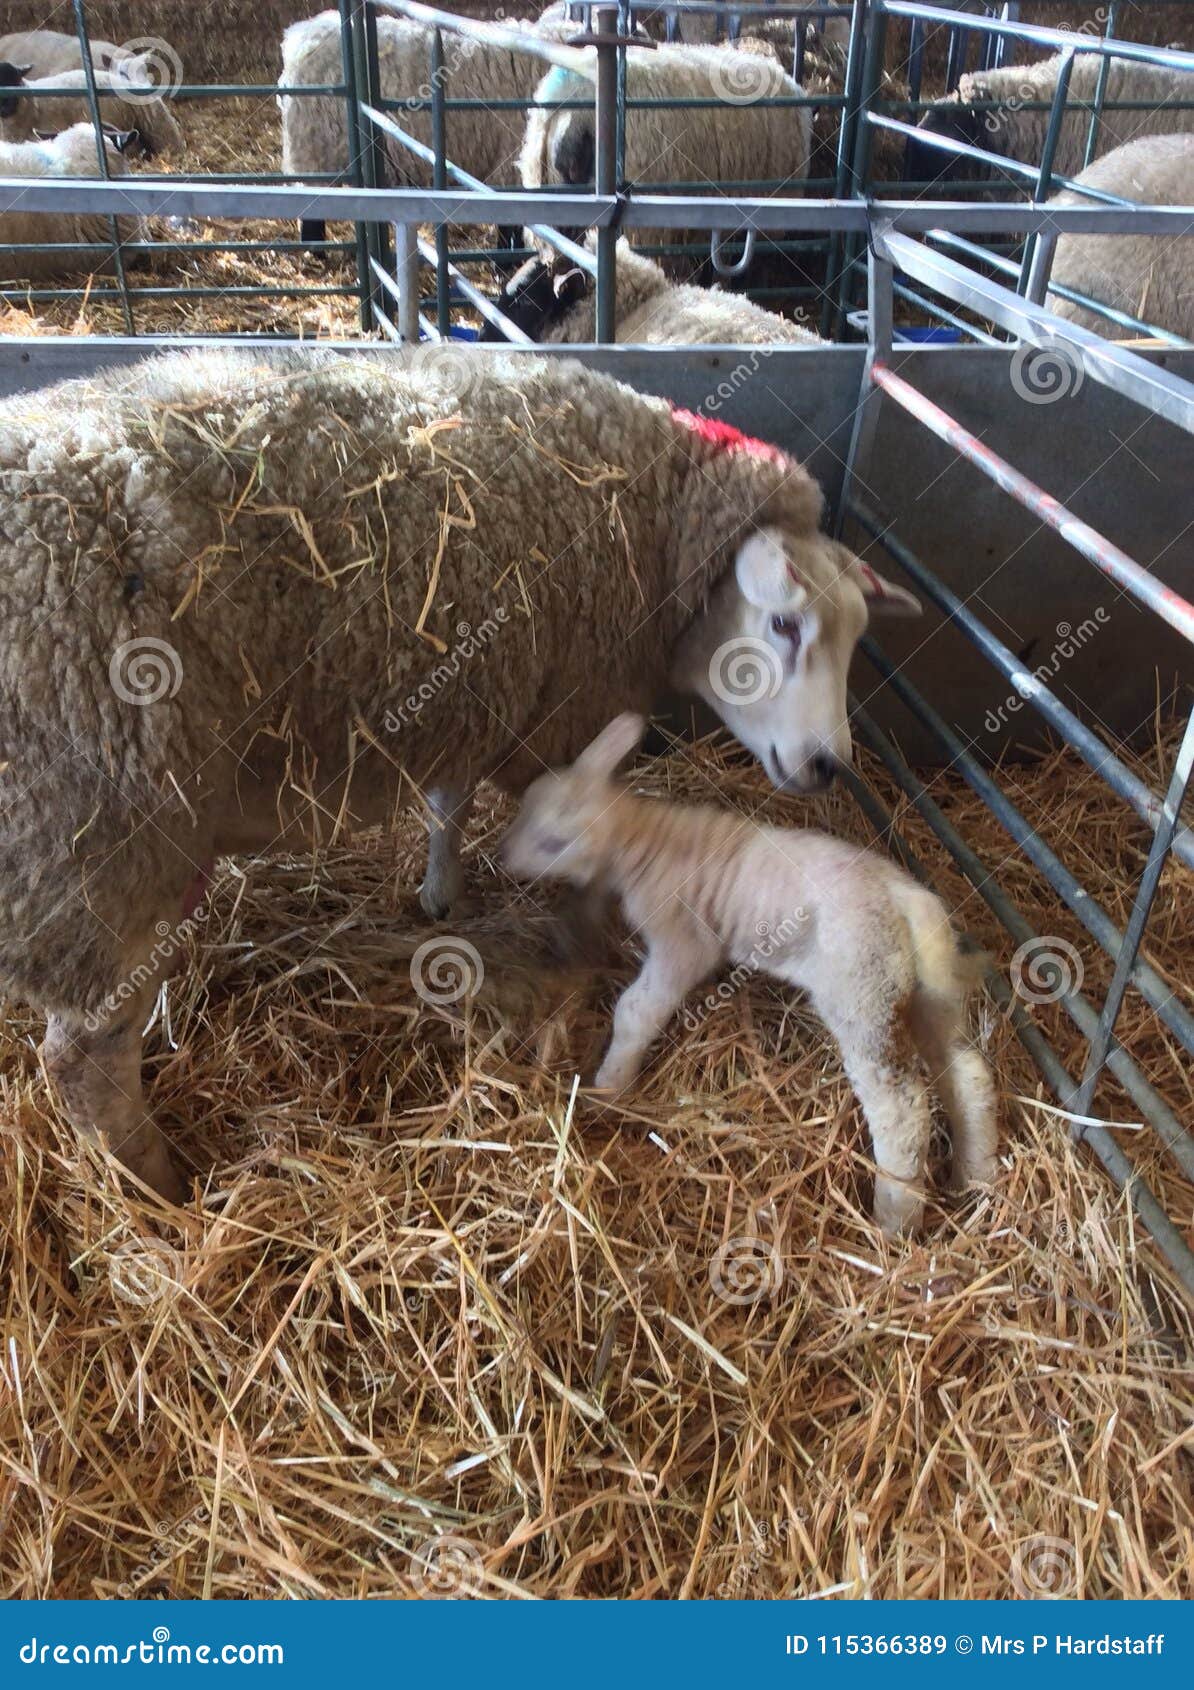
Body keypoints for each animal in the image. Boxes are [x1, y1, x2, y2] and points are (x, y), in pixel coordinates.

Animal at [0, 346, 920, 1200]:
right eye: (783, 625)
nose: (829, 764)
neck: (659, 527)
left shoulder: (479, 691)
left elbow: (449, 798)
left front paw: (441, 893)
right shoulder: (559, 710)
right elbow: (571, 849)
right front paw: (577, 946)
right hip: (101, 850)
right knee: (83, 1059)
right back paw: (158, 1187)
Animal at [501, 712, 997, 1234]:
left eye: (553, 843)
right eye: (524, 807)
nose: (501, 852)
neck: (644, 841)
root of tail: (908, 897)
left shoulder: (685, 941)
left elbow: (636, 1011)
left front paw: (607, 1088)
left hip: (863, 987)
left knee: (901, 1105)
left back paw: (893, 1216)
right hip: (923, 989)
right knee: (966, 1070)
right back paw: (976, 1176)